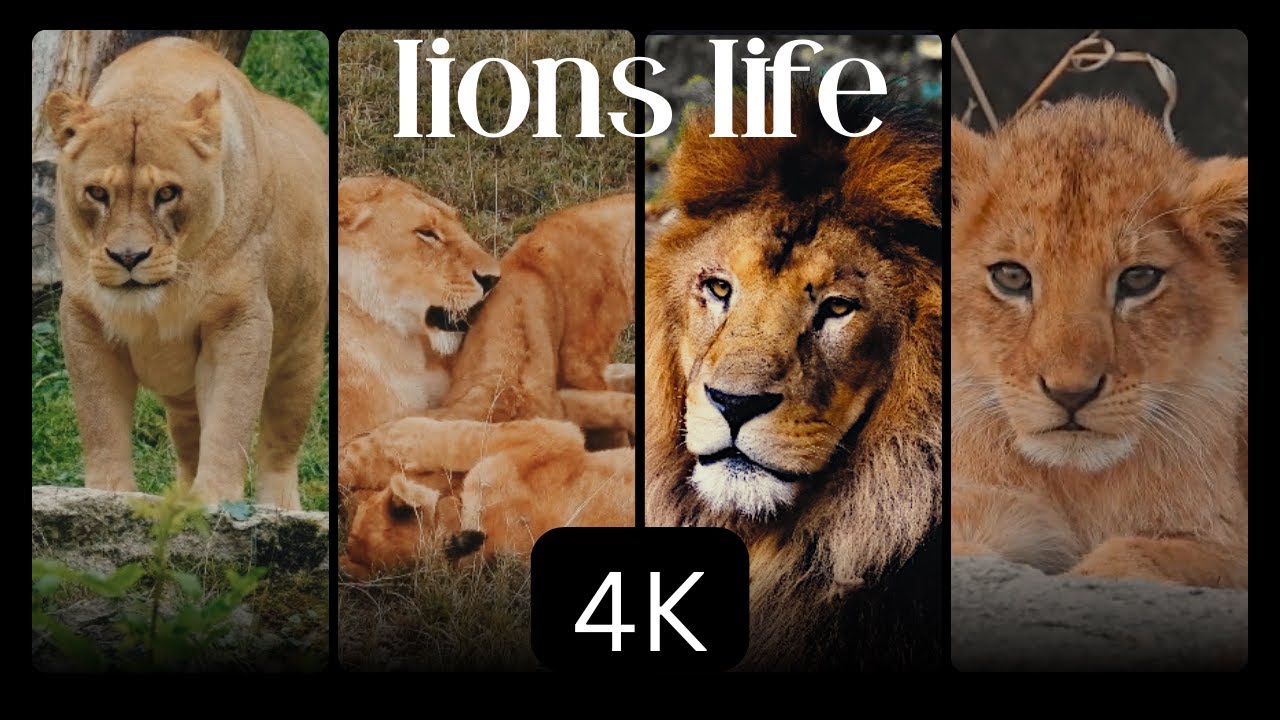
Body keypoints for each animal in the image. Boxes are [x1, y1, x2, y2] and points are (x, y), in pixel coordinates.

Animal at [43, 37, 327, 509]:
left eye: (167, 193)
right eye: (97, 193)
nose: (128, 257)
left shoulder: (238, 317)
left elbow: (231, 416)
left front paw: (214, 499)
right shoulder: (85, 318)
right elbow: (100, 418)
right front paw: (109, 494)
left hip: (302, 355)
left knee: (280, 448)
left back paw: (277, 507)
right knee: (189, 436)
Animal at [950, 98, 1249, 588]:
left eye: (1140, 278)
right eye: (1011, 276)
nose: (1071, 393)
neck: (1078, 482)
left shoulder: (1225, 537)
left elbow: (1141, 556)